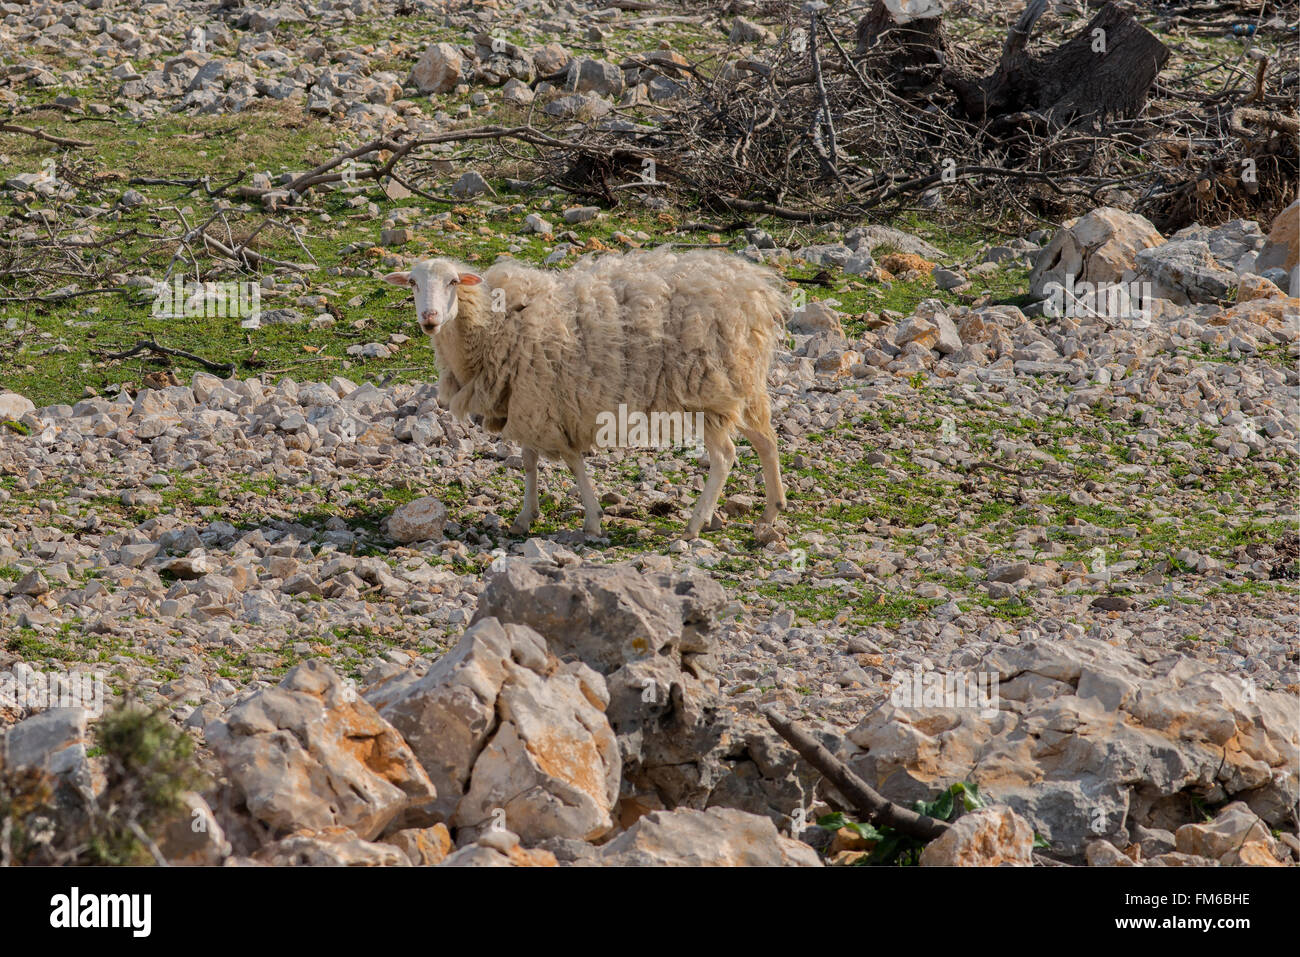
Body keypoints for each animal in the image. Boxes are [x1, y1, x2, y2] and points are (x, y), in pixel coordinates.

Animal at [384, 248, 788, 538]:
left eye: (453, 281)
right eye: (413, 283)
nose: (430, 319)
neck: (493, 324)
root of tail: (757, 292)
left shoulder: (548, 402)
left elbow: (572, 461)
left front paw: (592, 520)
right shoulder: (527, 402)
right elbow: (529, 461)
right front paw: (526, 516)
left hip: (708, 389)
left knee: (725, 456)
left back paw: (694, 525)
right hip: (739, 385)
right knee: (766, 440)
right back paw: (771, 512)